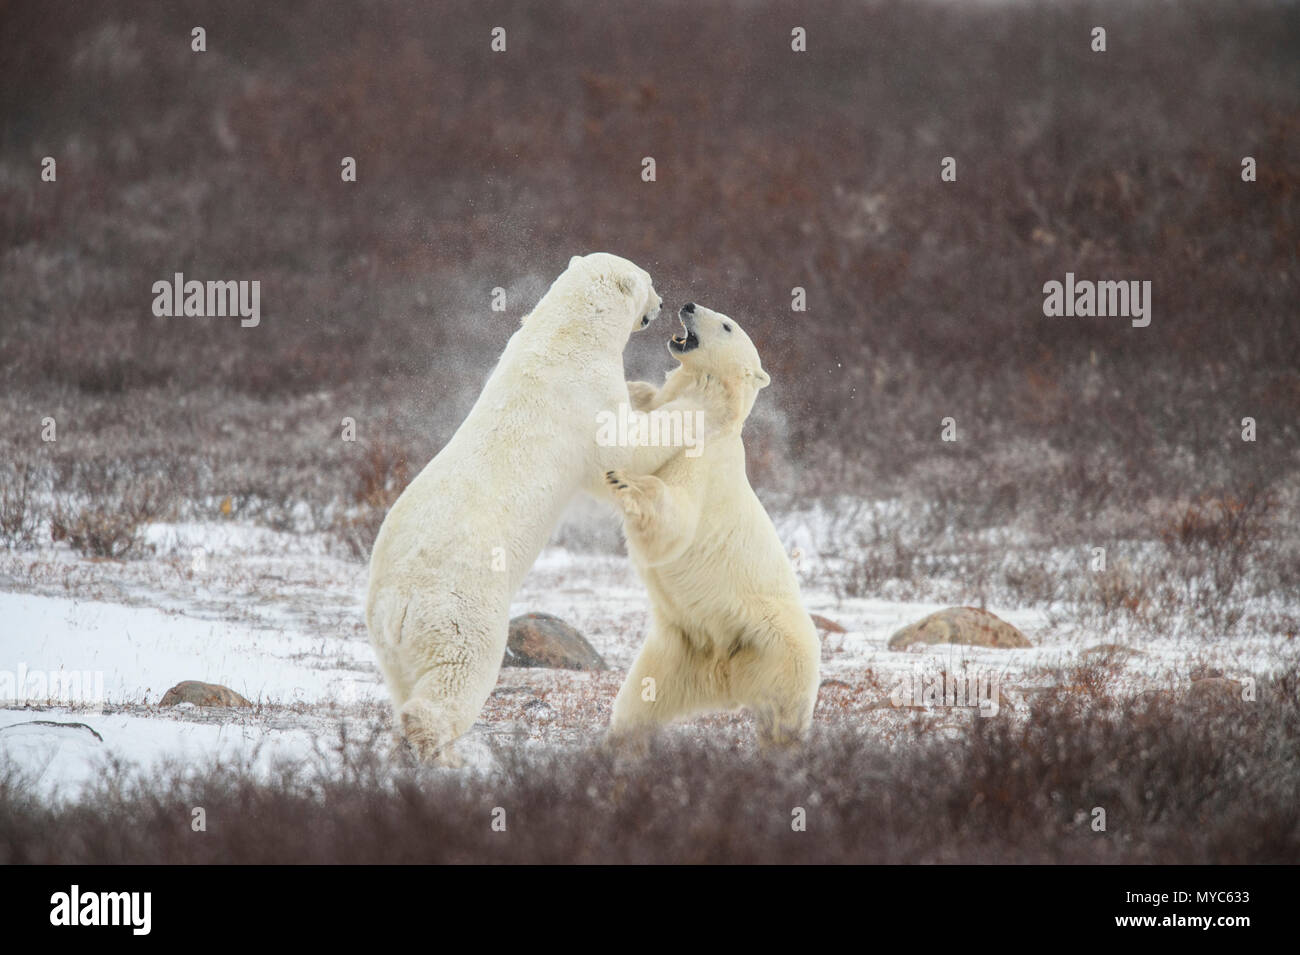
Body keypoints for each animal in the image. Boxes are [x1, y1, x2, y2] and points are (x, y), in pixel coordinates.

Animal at [366, 254, 718, 764]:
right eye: (648, 283)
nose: (661, 304)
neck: (564, 337)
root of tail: (399, 602)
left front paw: (641, 389)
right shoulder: (586, 396)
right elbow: (625, 449)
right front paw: (704, 396)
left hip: (389, 639)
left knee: (403, 680)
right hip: (459, 611)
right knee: (459, 671)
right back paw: (441, 748)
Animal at [605, 302, 821, 747]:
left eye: (726, 325)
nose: (688, 305)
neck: (720, 422)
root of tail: (726, 676)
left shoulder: (703, 461)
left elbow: (676, 520)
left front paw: (624, 480)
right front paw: (635, 390)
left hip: (777, 644)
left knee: (783, 720)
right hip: (677, 655)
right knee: (636, 708)